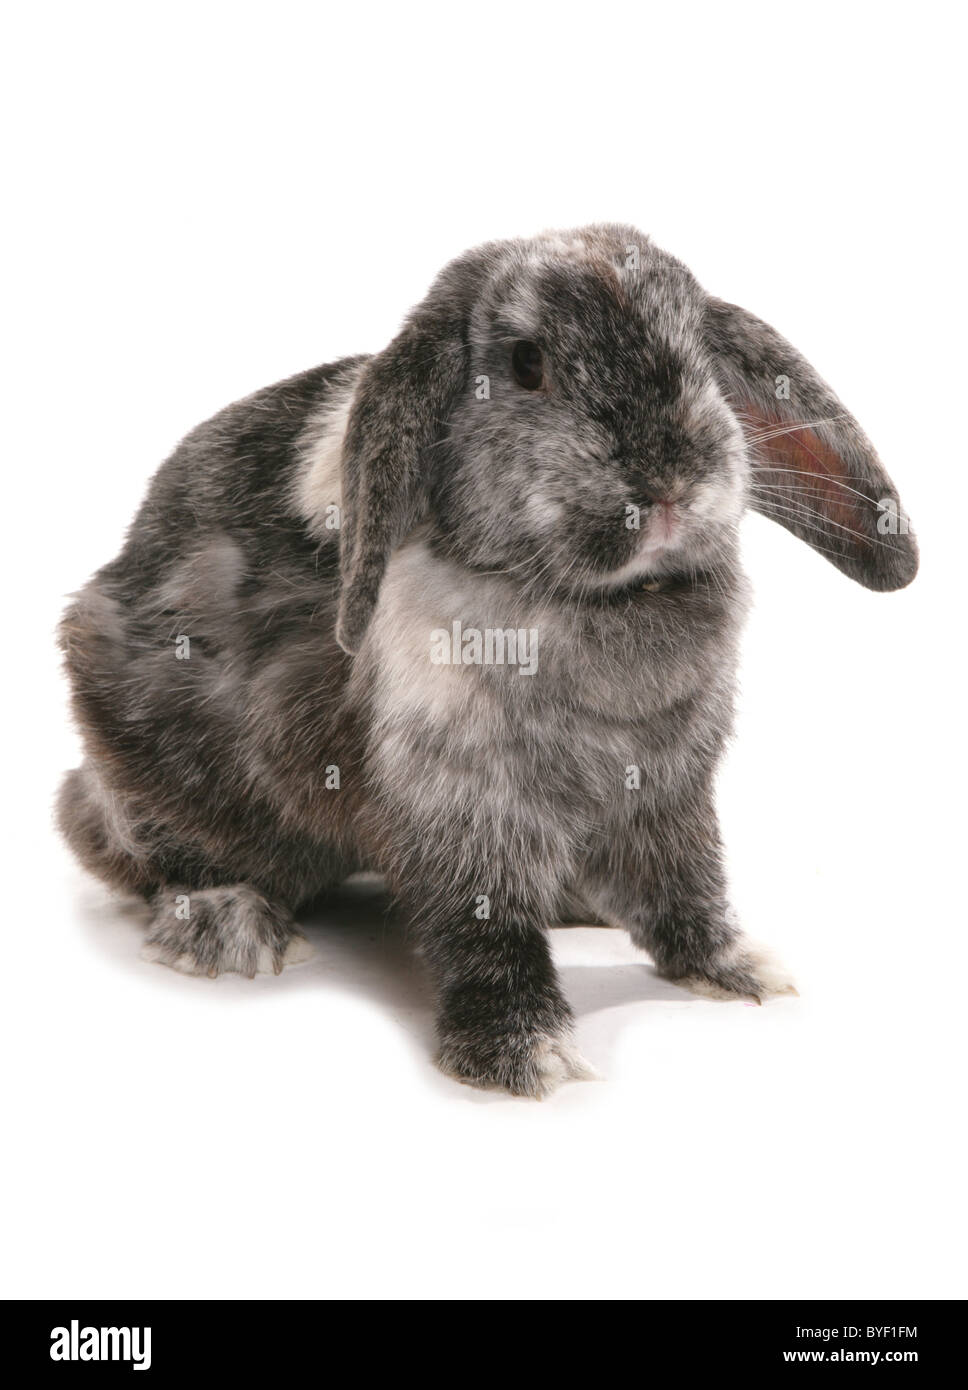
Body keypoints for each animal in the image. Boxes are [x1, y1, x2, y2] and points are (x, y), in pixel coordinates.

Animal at [57, 224, 918, 1097]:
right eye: (526, 363)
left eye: (701, 355)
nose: (670, 483)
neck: (596, 603)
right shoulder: (463, 806)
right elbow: (485, 928)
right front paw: (527, 1053)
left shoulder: (670, 795)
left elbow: (688, 890)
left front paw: (740, 971)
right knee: (145, 851)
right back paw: (228, 924)